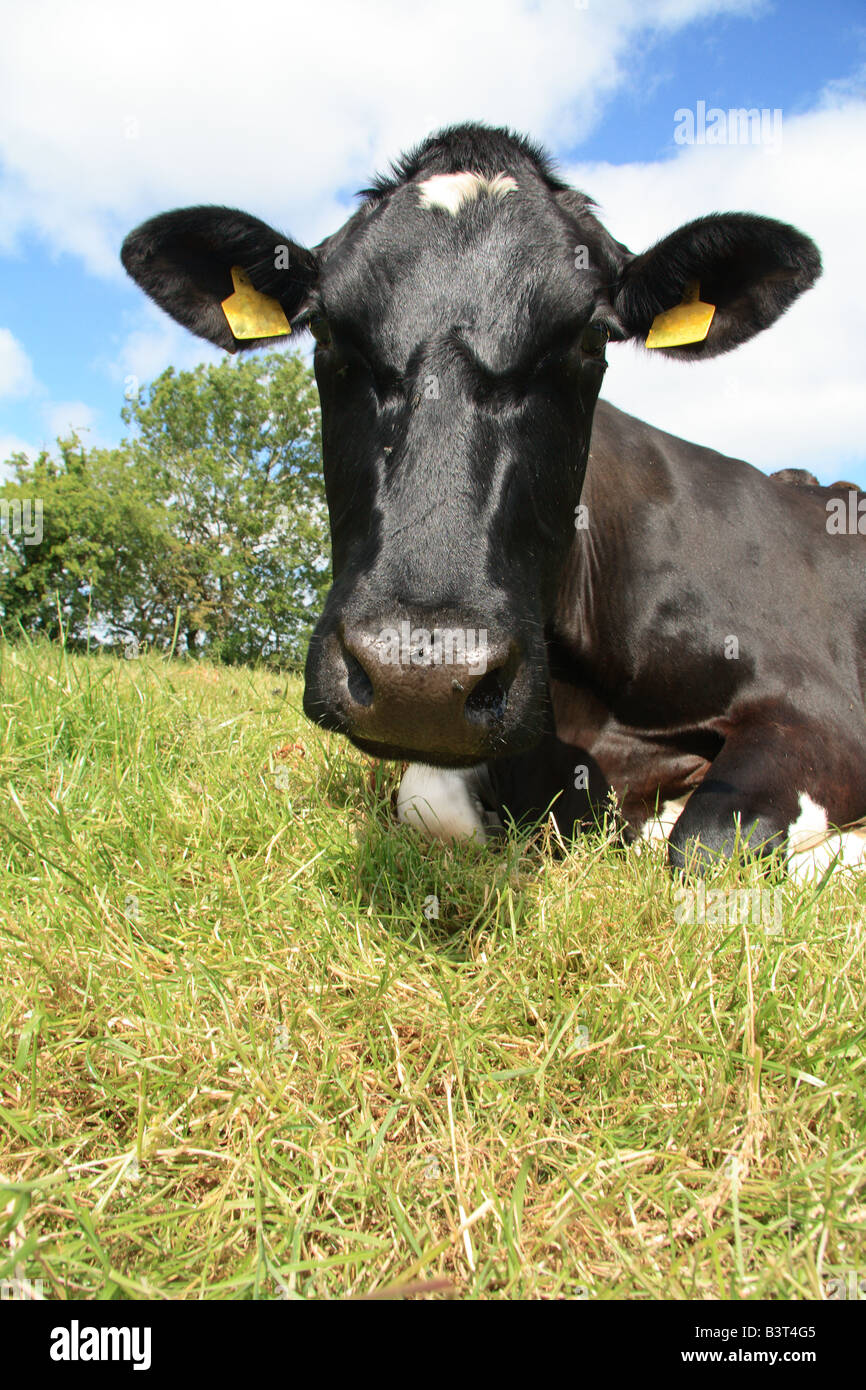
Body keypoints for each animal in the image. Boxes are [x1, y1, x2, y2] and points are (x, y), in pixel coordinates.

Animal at [120, 123, 866, 882]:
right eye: (326, 328)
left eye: (592, 336)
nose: (419, 675)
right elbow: (429, 801)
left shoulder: (820, 703)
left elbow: (707, 843)